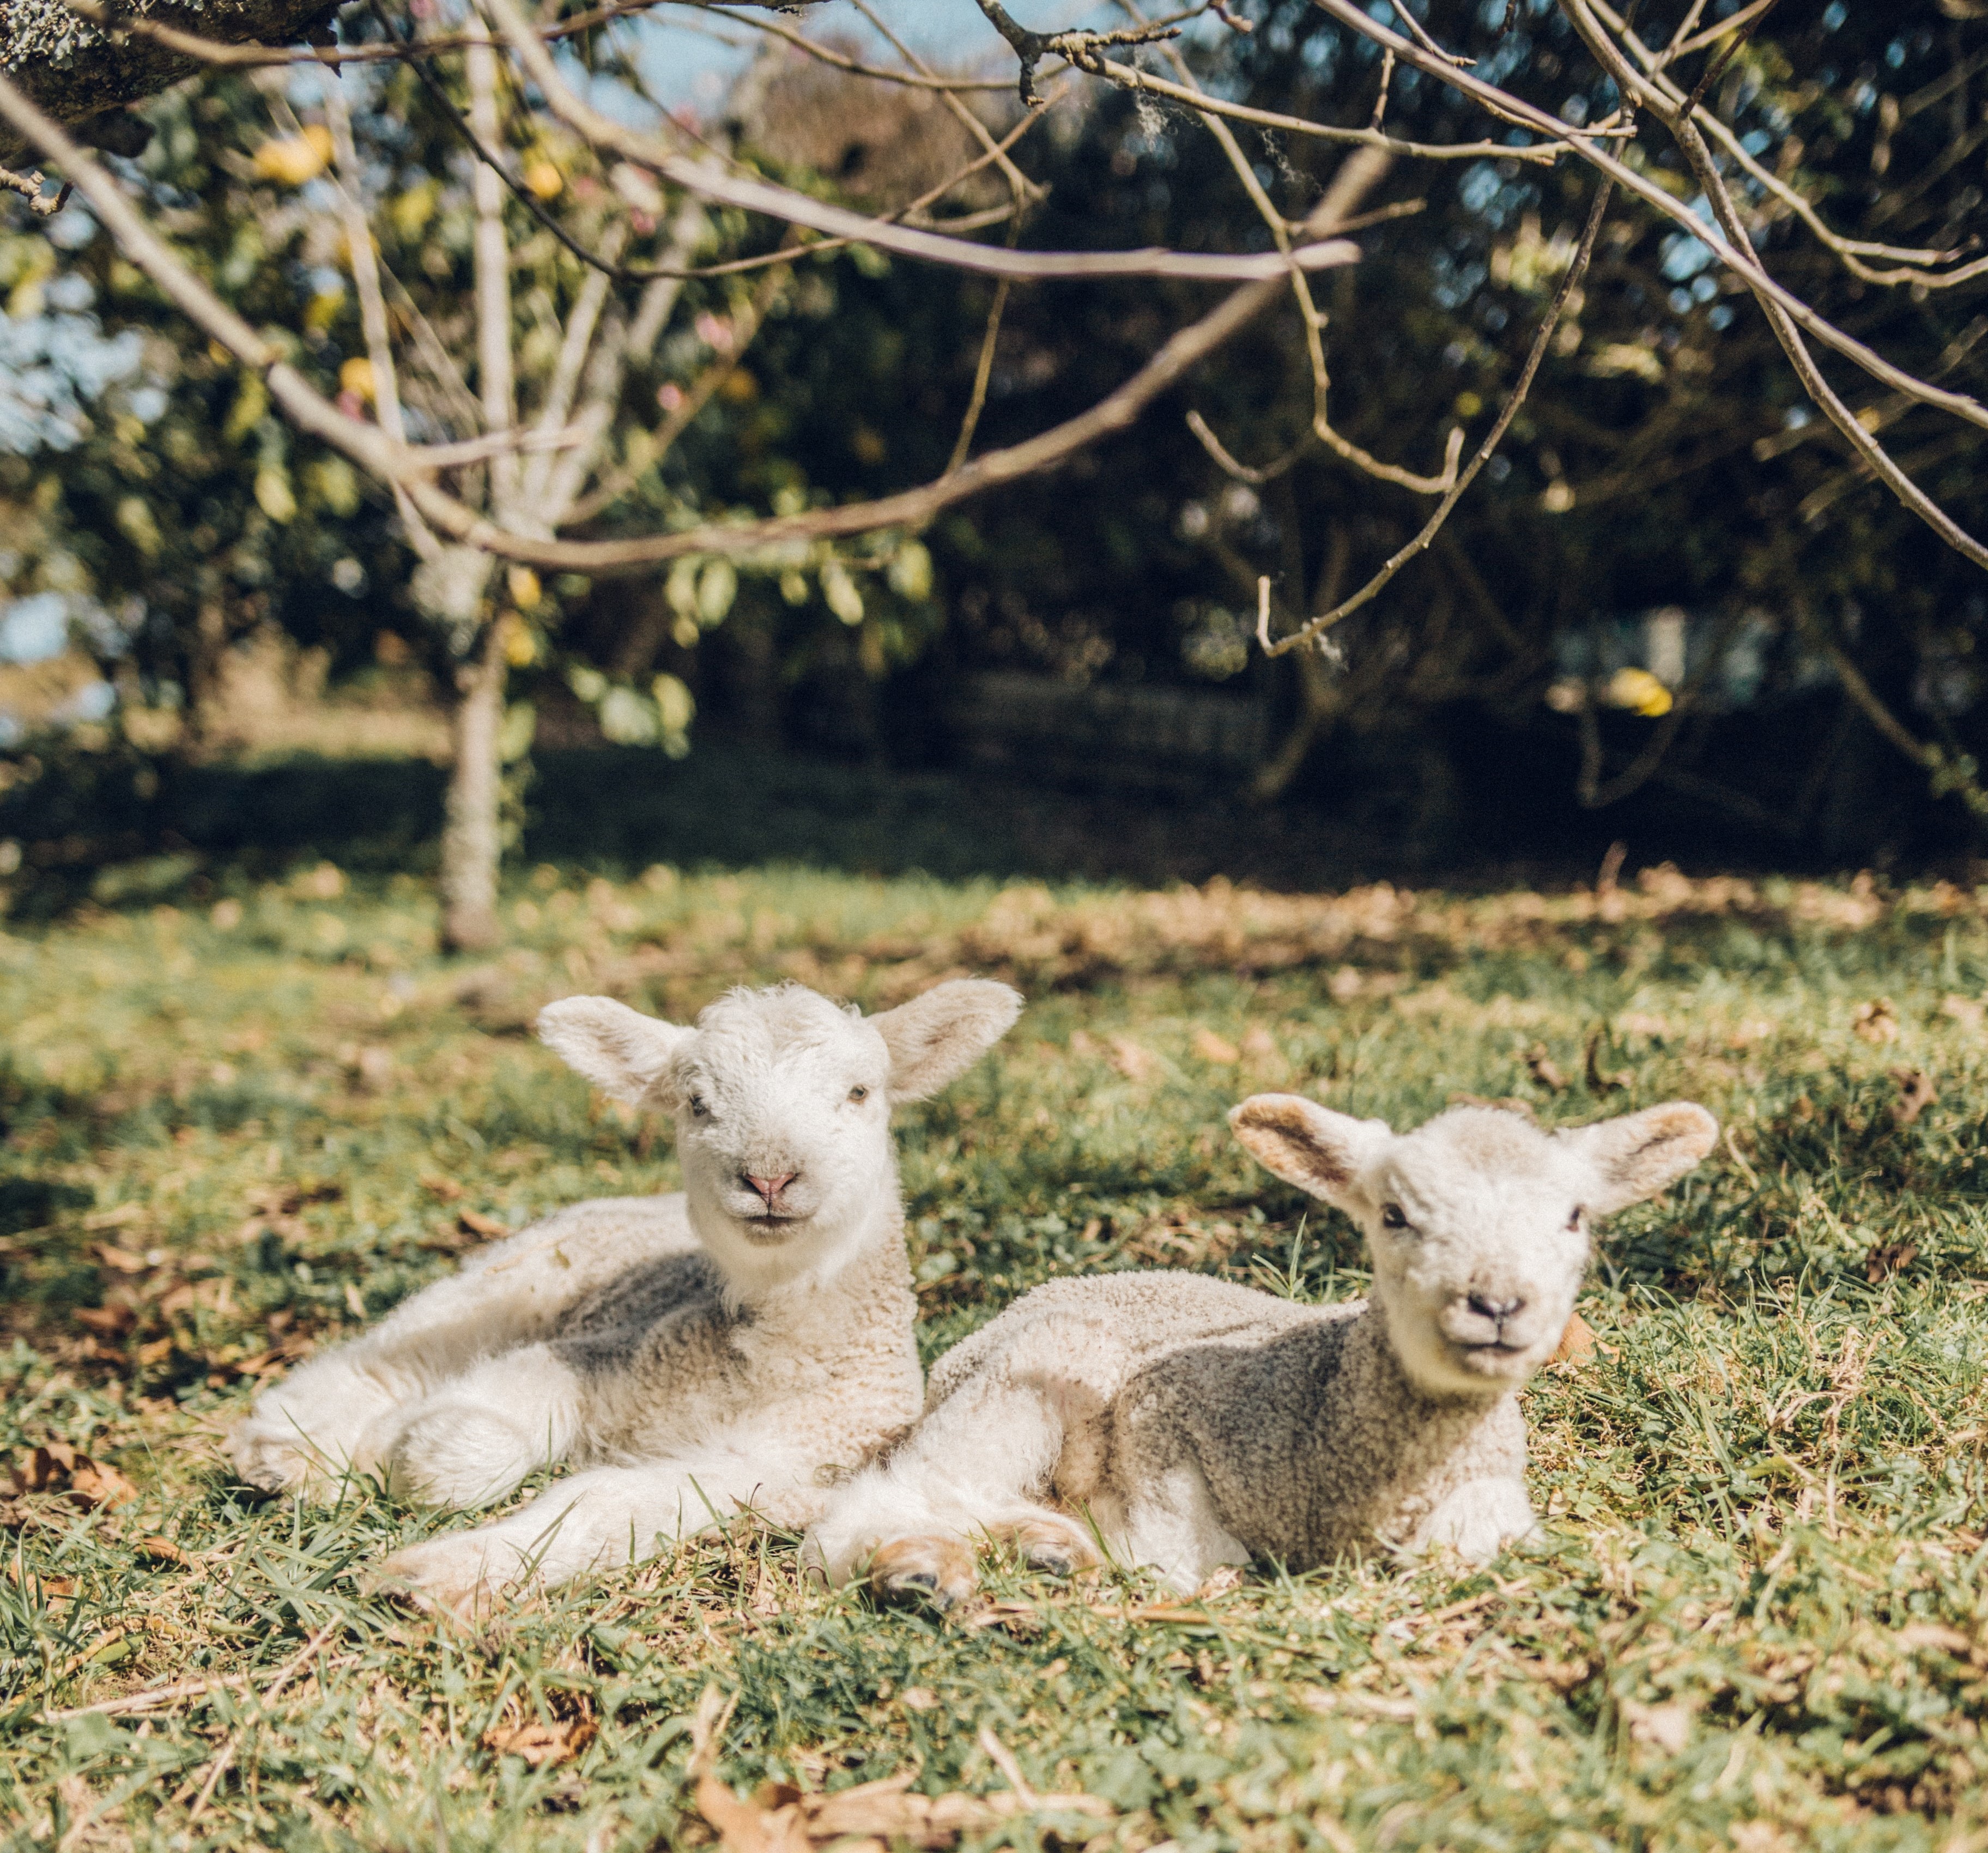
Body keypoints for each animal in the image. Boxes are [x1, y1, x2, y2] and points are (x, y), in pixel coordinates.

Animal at [226, 976, 1022, 1615]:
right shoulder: (598, 1355)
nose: (769, 1177)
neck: (769, 1364)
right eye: (696, 1102)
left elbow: (603, 1503)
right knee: (379, 1362)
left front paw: (439, 1571)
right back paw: (283, 1450)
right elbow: (469, 1444)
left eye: (859, 1093)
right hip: (507, 1284)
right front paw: (400, 1446)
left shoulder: (771, 1465)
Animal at [806, 1093, 1716, 1605]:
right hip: (1033, 1376)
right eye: (1394, 1215)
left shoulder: (1492, 1501)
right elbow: (1190, 1552)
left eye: (1574, 1217)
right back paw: (924, 1571)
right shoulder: (1164, 1419)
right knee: (889, 1500)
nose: (1497, 1305)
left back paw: (1045, 1550)